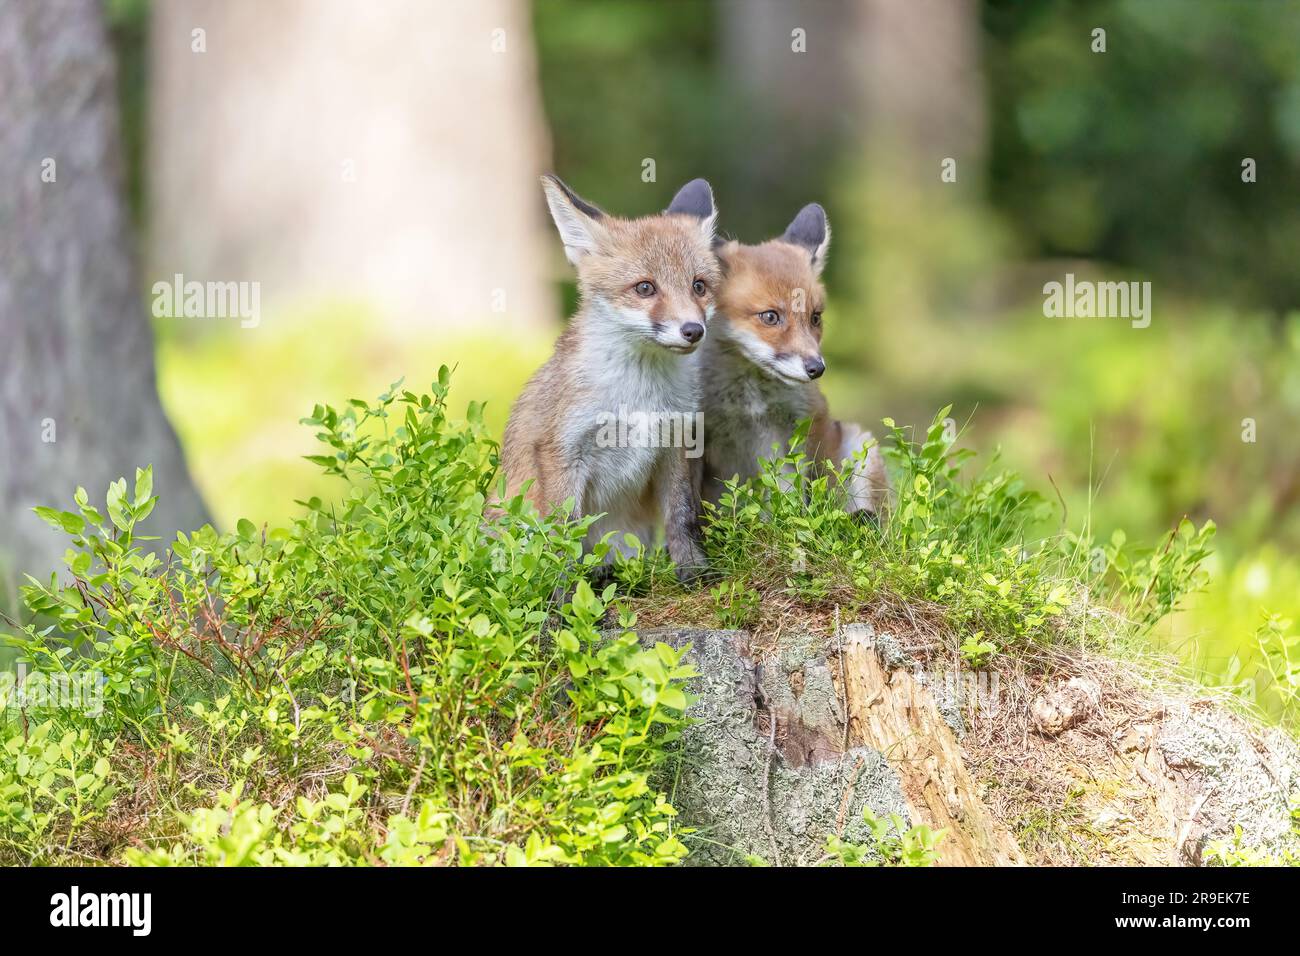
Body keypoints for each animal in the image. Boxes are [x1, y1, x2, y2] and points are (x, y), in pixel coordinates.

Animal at [500, 175, 720, 582]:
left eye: (698, 286)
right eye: (645, 287)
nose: (693, 330)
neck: (639, 396)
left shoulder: (675, 441)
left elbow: (682, 517)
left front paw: (692, 569)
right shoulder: (562, 451)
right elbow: (563, 536)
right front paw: (563, 594)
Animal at [697, 203, 890, 517]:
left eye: (815, 318)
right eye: (770, 317)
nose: (816, 368)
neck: (751, 402)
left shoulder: (805, 423)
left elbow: (797, 492)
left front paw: (800, 521)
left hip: (859, 443)